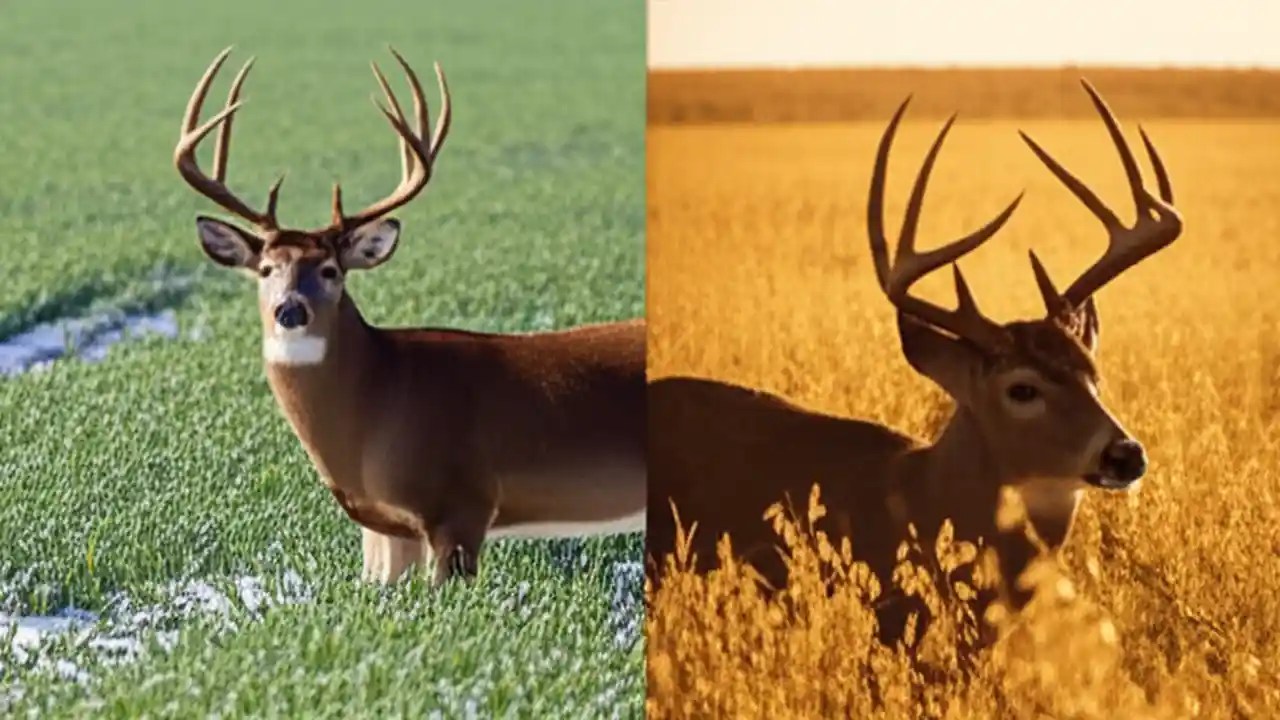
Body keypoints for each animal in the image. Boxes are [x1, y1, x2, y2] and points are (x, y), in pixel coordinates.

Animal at [174, 47, 646, 587]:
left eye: (331, 270)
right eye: (266, 269)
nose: (289, 308)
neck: (375, 407)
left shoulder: (461, 502)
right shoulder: (385, 526)